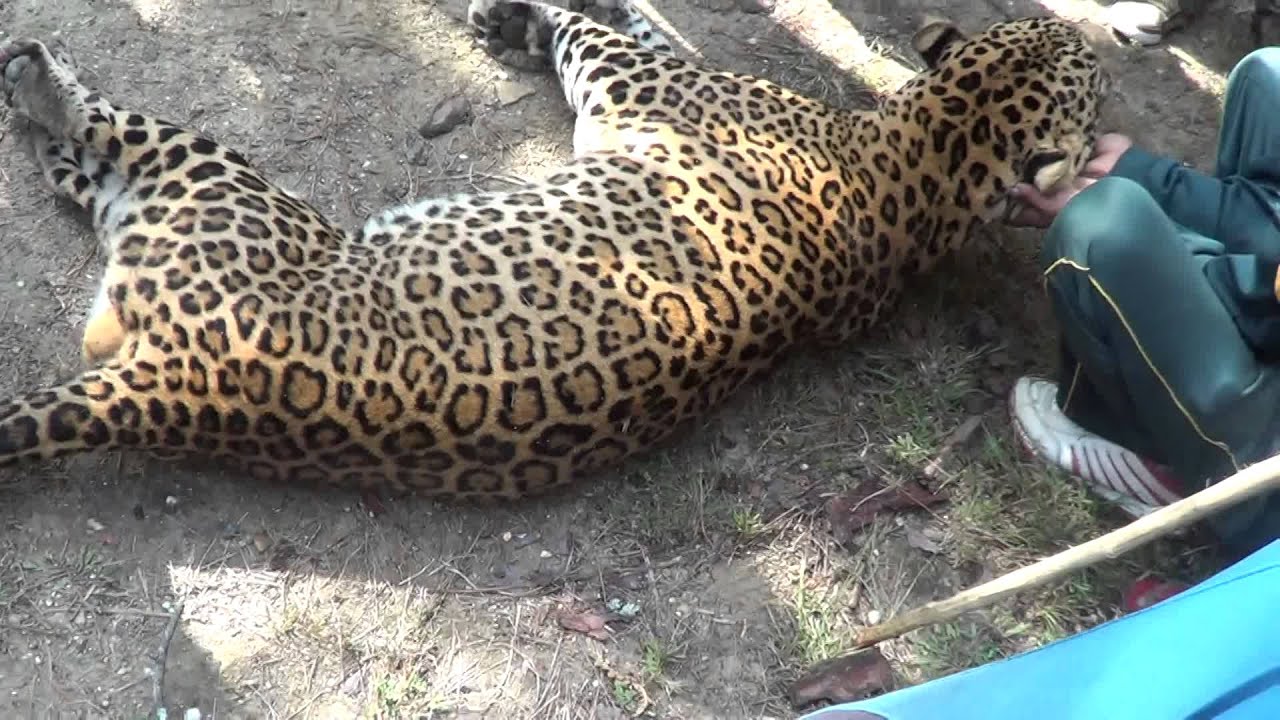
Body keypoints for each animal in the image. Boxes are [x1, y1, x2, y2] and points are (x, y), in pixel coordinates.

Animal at [0, 5, 1109, 501]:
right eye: (1082, 62)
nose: (1104, 49)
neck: (930, 152)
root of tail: (179, 380)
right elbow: (632, 21)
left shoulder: (633, 89)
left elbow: (590, 30)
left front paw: (517, 15)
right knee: (68, 163)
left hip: (213, 183)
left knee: (90, 134)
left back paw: (31, 70)